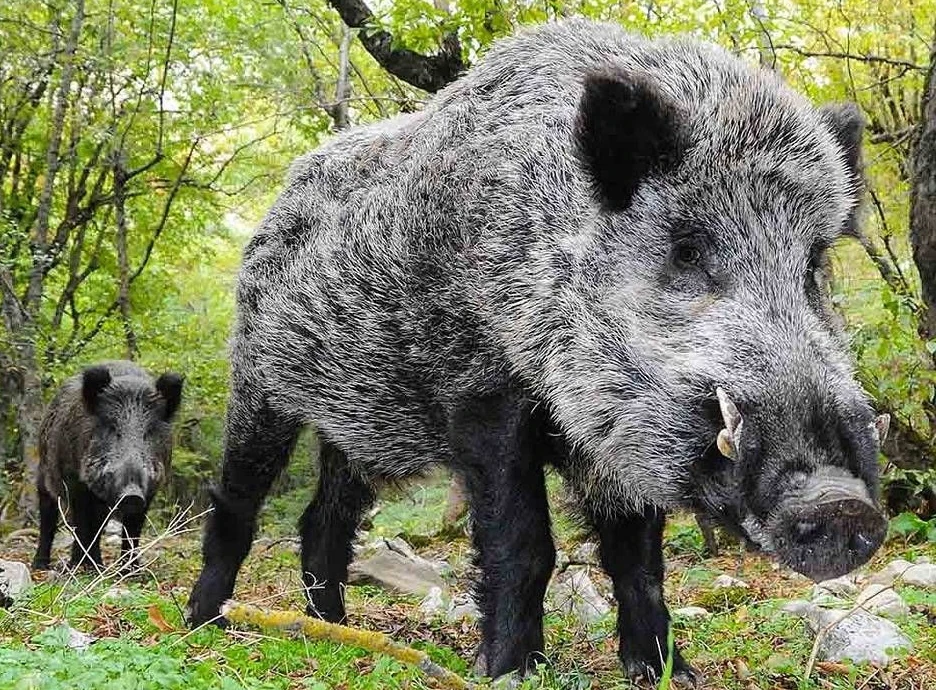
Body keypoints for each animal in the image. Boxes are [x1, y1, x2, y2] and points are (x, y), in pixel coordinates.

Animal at [32, 361, 183, 571]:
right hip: (44, 475)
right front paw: (82, 568)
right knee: (48, 518)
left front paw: (130, 571)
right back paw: (41, 565)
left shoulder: (151, 490)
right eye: (112, 428)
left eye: (149, 431)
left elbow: (132, 530)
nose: (131, 495)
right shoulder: (74, 482)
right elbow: (82, 525)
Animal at [187, 18, 889, 683]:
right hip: (257, 382)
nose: (841, 503)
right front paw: (510, 669)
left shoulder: (616, 431)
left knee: (324, 521)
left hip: (355, 428)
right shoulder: (479, 390)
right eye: (687, 250)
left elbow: (638, 556)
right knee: (238, 501)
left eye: (812, 266)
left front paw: (670, 672)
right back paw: (204, 623)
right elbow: (523, 542)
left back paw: (330, 627)